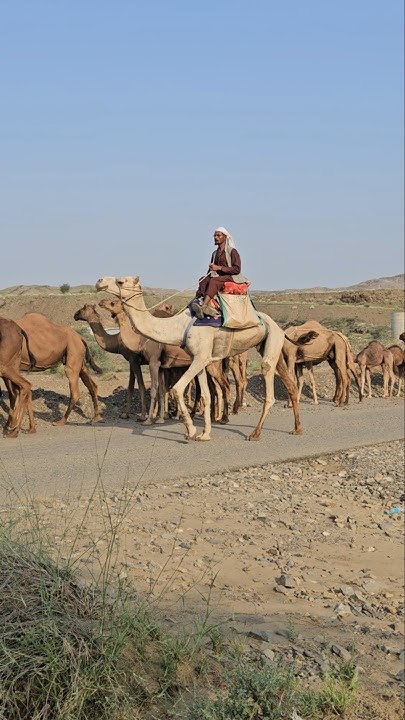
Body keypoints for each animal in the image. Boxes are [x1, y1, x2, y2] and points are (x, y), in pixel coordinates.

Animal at [95, 276, 318, 442]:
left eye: (121, 281)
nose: (99, 281)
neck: (178, 327)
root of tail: (281, 328)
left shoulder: (199, 357)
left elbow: (177, 389)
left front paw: (191, 431)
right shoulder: (199, 359)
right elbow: (206, 395)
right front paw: (204, 434)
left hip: (268, 347)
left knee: (267, 384)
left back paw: (255, 433)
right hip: (272, 345)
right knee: (289, 385)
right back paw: (297, 428)